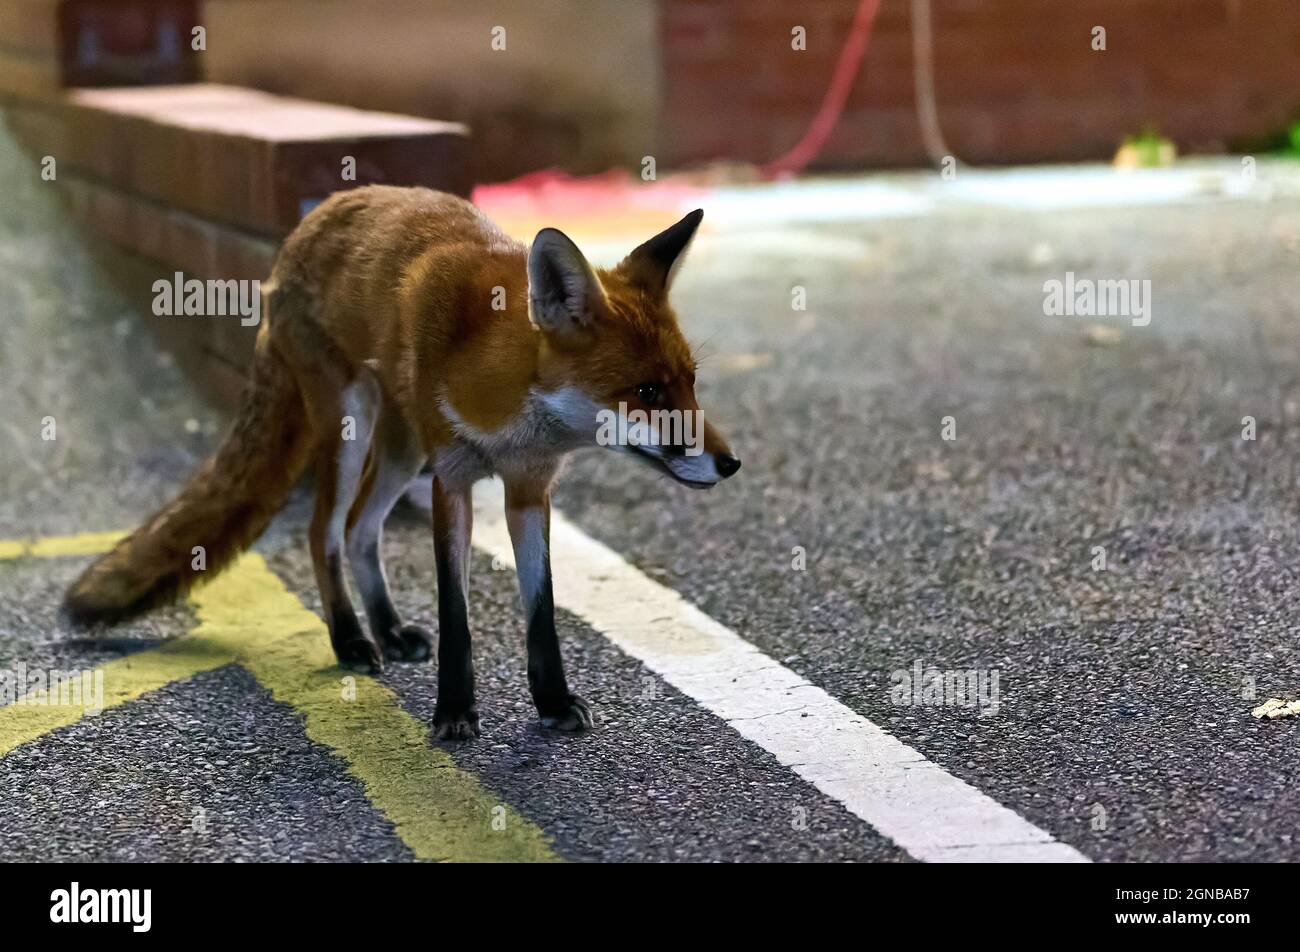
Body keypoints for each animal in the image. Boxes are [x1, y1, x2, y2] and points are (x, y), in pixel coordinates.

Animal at [62, 186, 740, 739]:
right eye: (648, 392)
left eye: (691, 384)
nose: (732, 464)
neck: (504, 402)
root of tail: (301, 232)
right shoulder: (452, 481)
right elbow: (456, 613)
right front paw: (455, 714)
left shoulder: (528, 490)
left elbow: (541, 608)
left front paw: (551, 702)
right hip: (351, 428)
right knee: (326, 530)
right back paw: (350, 639)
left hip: (400, 448)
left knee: (363, 528)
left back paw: (386, 627)